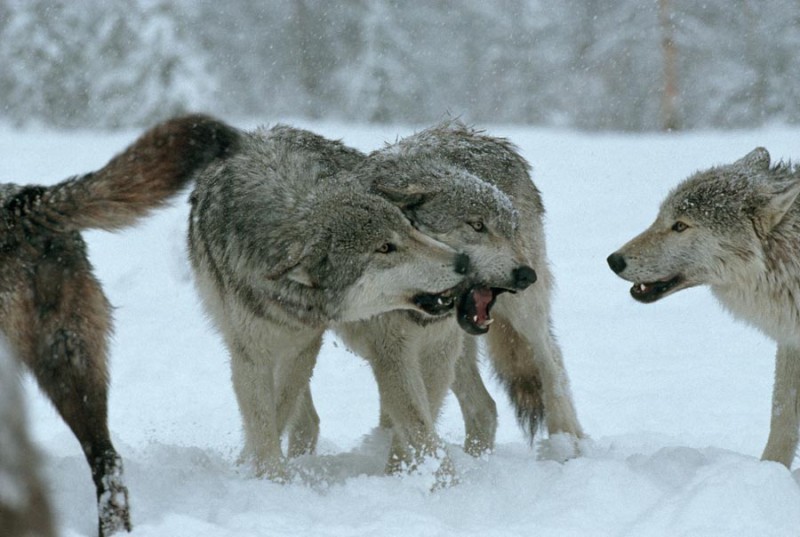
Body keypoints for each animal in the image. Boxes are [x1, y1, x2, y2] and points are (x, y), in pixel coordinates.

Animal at [187, 125, 470, 481]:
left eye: (409, 228)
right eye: (385, 248)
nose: (463, 261)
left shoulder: (301, 345)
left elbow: (278, 410)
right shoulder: (251, 353)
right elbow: (263, 425)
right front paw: (270, 478)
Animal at [333, 121, 585, 476]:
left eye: (509, 230)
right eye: (477, 225)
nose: (526, 275)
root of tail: (483, 136)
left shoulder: (427, 347)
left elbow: (413, 425)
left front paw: (403, 479)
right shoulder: (388, 346)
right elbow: (409, 418)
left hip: (522, 317)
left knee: (552, 364)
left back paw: (566, 445)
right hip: (460, 349)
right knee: (486, 408)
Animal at [608, 147, 800, 468]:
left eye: (680, 225)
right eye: (660, 217)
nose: (613, 260)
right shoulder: (790, 341)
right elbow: (781, 416)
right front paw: (769, 472)